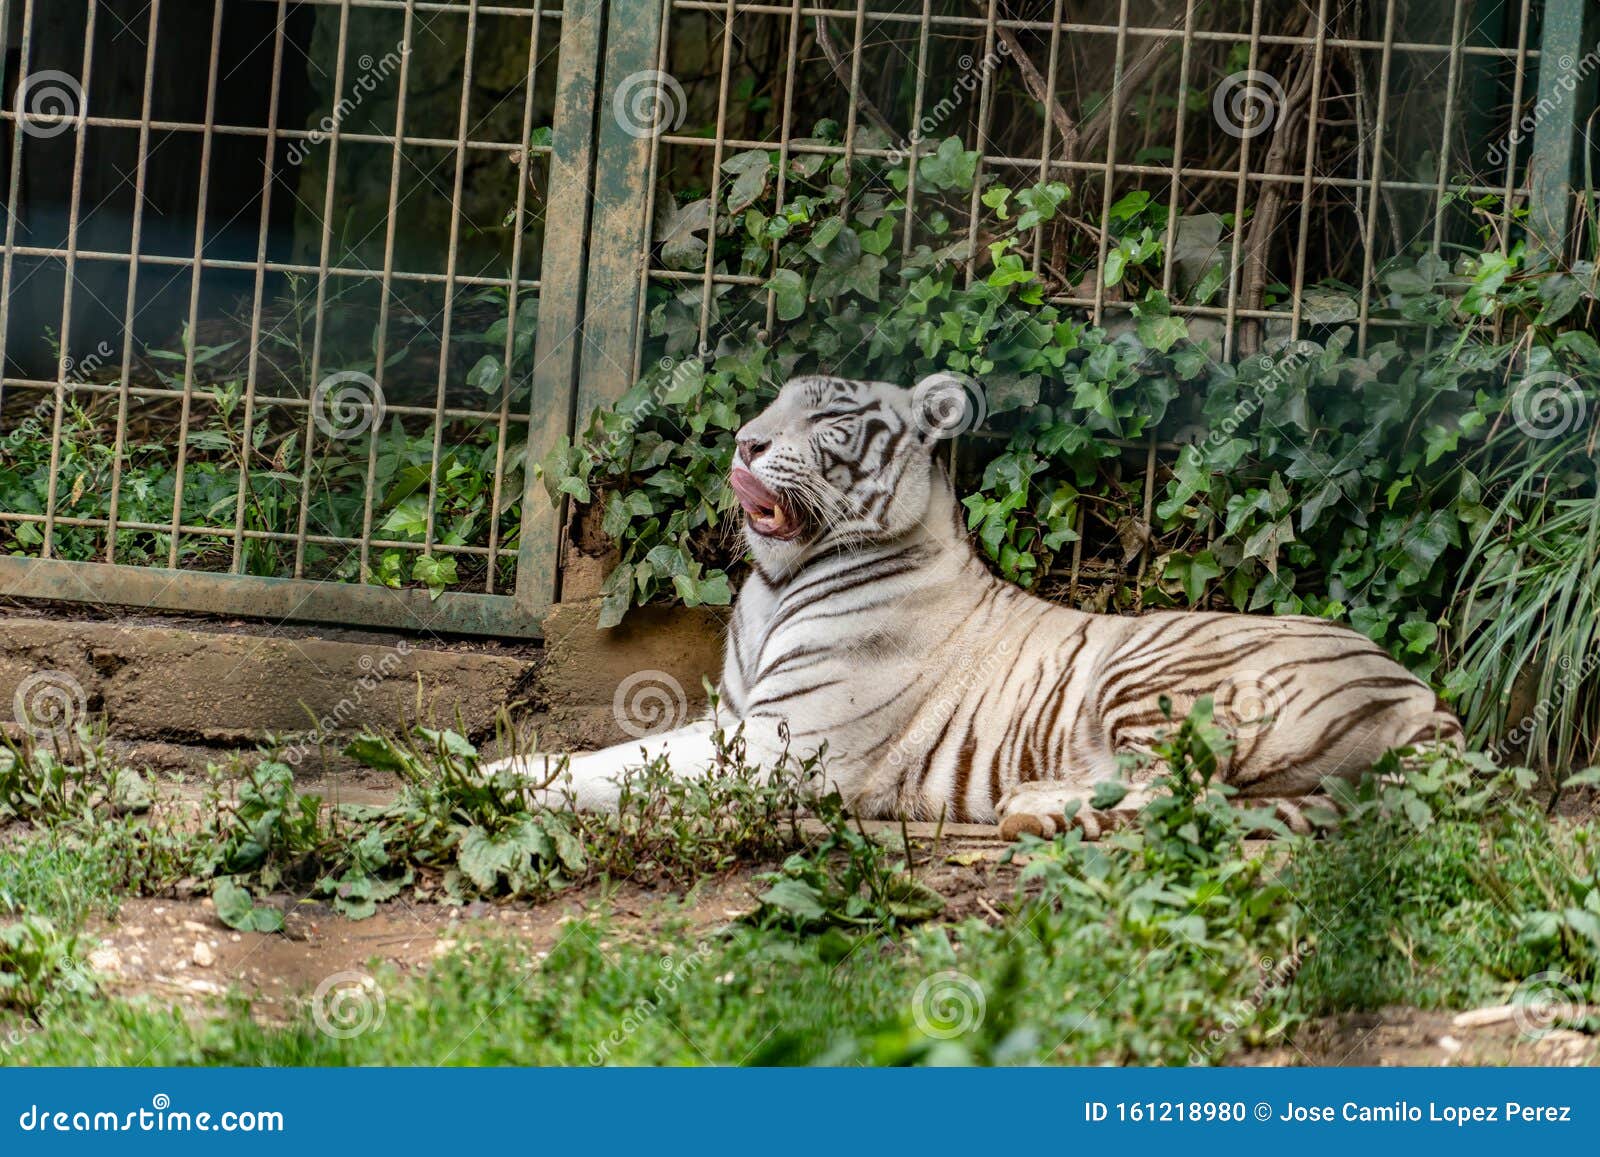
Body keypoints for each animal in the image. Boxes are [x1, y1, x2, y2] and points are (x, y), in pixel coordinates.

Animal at [491, 373, 1462, 839]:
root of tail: (1420, 693)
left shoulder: (777, 745)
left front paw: (481, 773)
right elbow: (619, 751)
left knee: (1185, 789)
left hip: (1155, 672)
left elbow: (618, 763)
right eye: (770, 403)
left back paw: (1036, 808)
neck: (777, 582)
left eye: (830, 417)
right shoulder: (737, 720)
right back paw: (1039, 808)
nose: (746, 441)